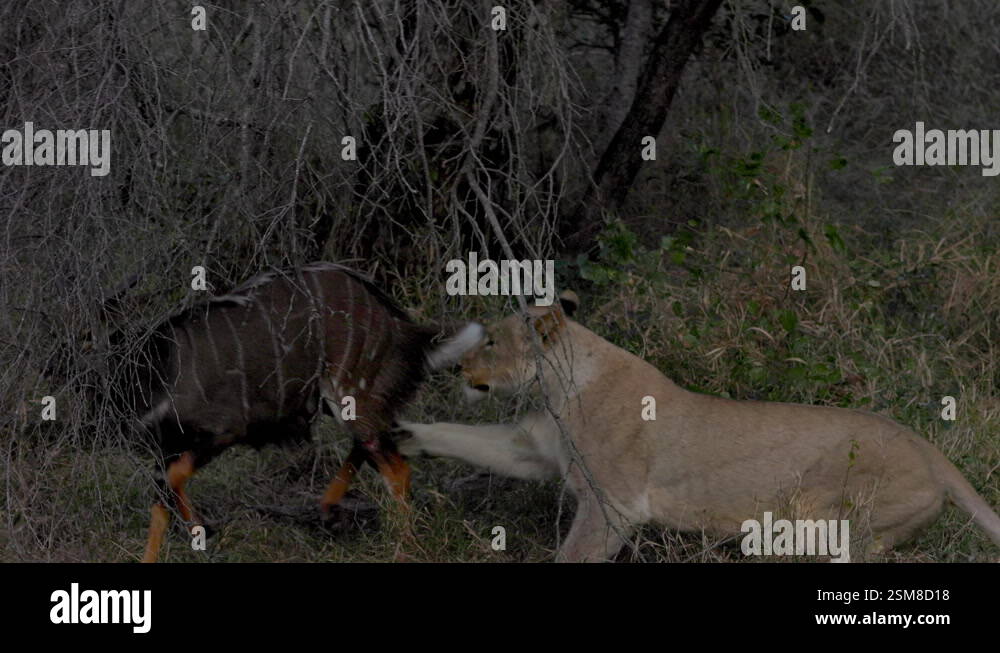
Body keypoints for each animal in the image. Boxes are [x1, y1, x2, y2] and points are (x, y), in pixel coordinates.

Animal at [397, 292, 1000, 562]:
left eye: (491, 342)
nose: (457, 368)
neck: (558, 389)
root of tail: (933, 453)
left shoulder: (614, 502)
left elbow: (574, 555)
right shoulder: (534, 447)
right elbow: (465, 439)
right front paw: (403, 433)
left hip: (828, 522)